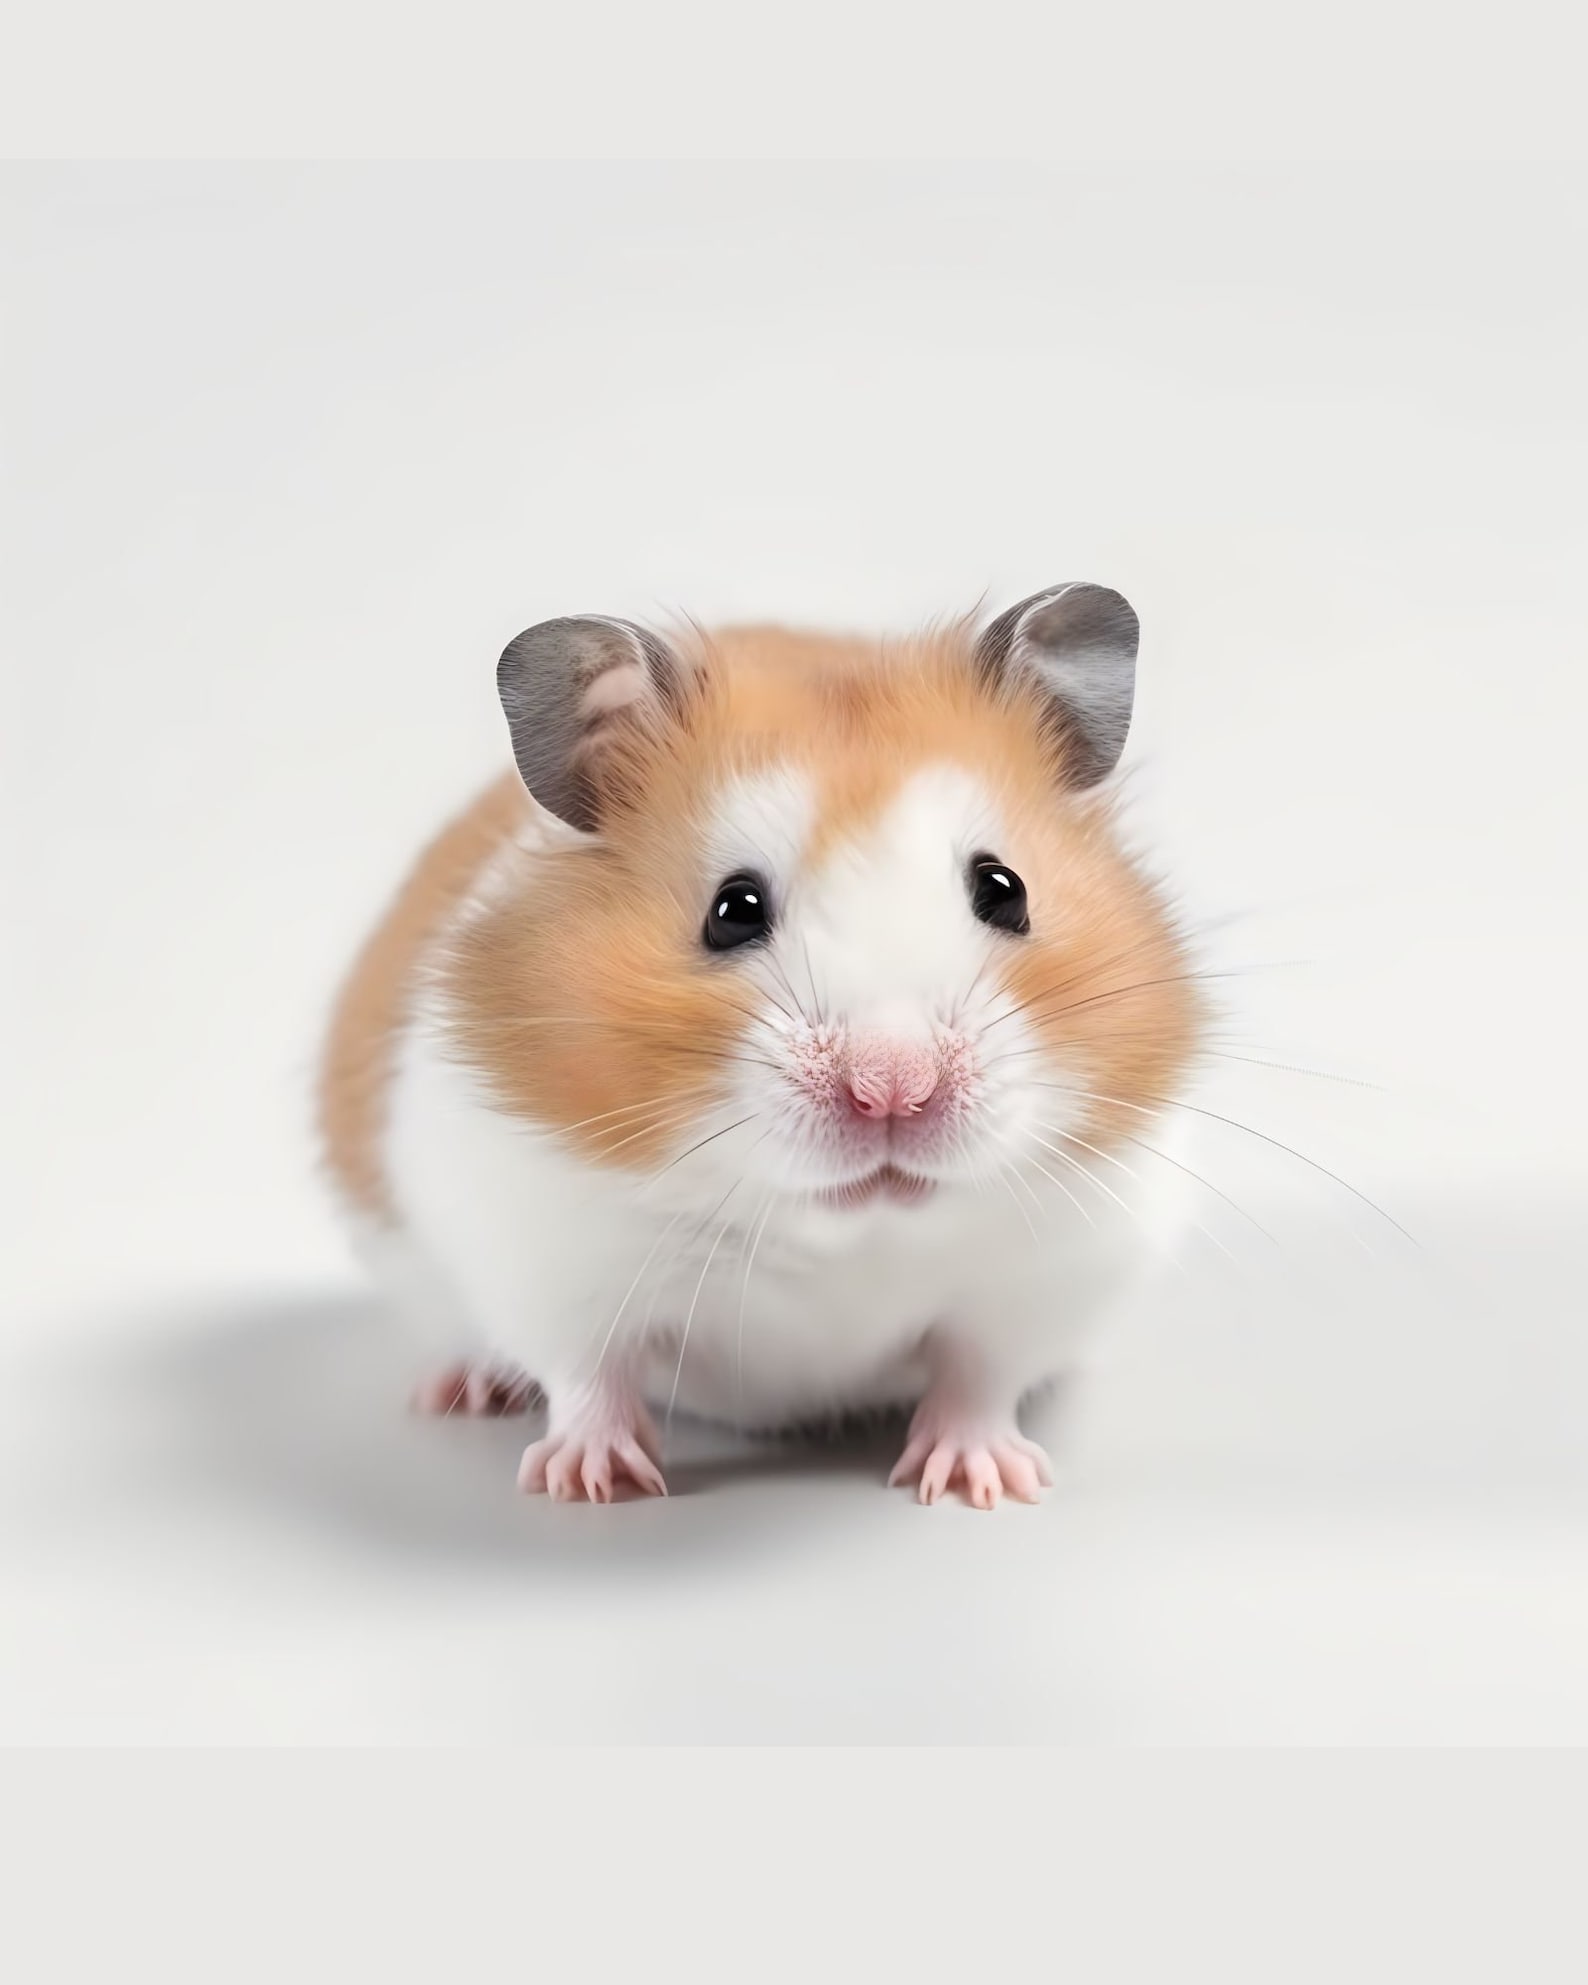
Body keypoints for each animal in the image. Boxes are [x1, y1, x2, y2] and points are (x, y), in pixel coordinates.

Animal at [318, 586, 1201, 1506]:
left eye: (1005, 889)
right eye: (732, 909)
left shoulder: (1041, 1278)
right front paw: (594, 1483)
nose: (894, 1090)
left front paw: (983, 1482)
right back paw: (464, 1391)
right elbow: (587, 1374)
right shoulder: (546, 1261)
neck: (840, 1228)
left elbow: (979, 1378)